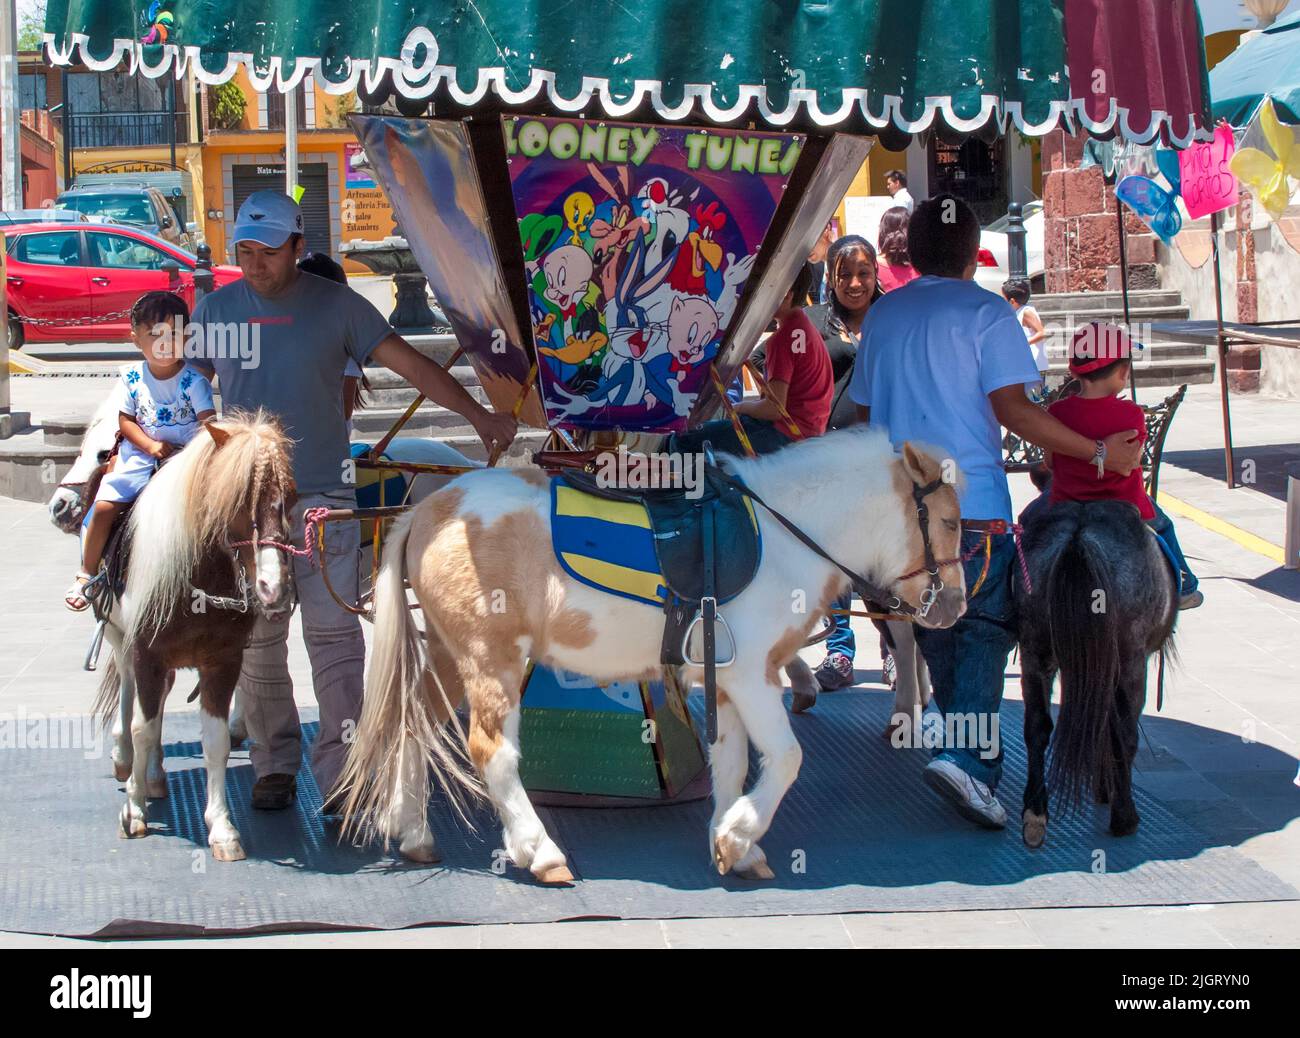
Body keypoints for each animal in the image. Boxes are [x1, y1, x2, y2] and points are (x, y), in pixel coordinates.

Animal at [92, 410, 297, 861]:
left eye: (290, 497)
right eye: (236, 500)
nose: (273, 588)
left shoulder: (222, 662)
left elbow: (215, 741)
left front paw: (221, 828)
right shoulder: (147, 655)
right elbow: (142, 727)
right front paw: (132, 811)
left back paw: (153, 775)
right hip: (120, 640)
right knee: (129, 695)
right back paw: (125, 759)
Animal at [336, 428, 966, 883]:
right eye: (951, 521)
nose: (954, 605)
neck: (784, 537)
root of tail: (428, 510)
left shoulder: (729, 684)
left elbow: (732, 761)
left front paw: (730, 846)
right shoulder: (754, 677)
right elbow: (787, 758)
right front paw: (740, 834)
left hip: (449, 657)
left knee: (412, 724)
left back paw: (415, 834)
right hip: (493, 662)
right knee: (491, 750)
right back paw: (540, 852)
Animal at [1014, 499, 1177, 848]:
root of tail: (1079, 537)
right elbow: (1113, 728)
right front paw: (1107, 788)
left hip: (1035, 651)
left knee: (1036, 727)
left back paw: (1035, 814)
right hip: (1130, 660)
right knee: (1126, 732)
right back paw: (1125, 816)